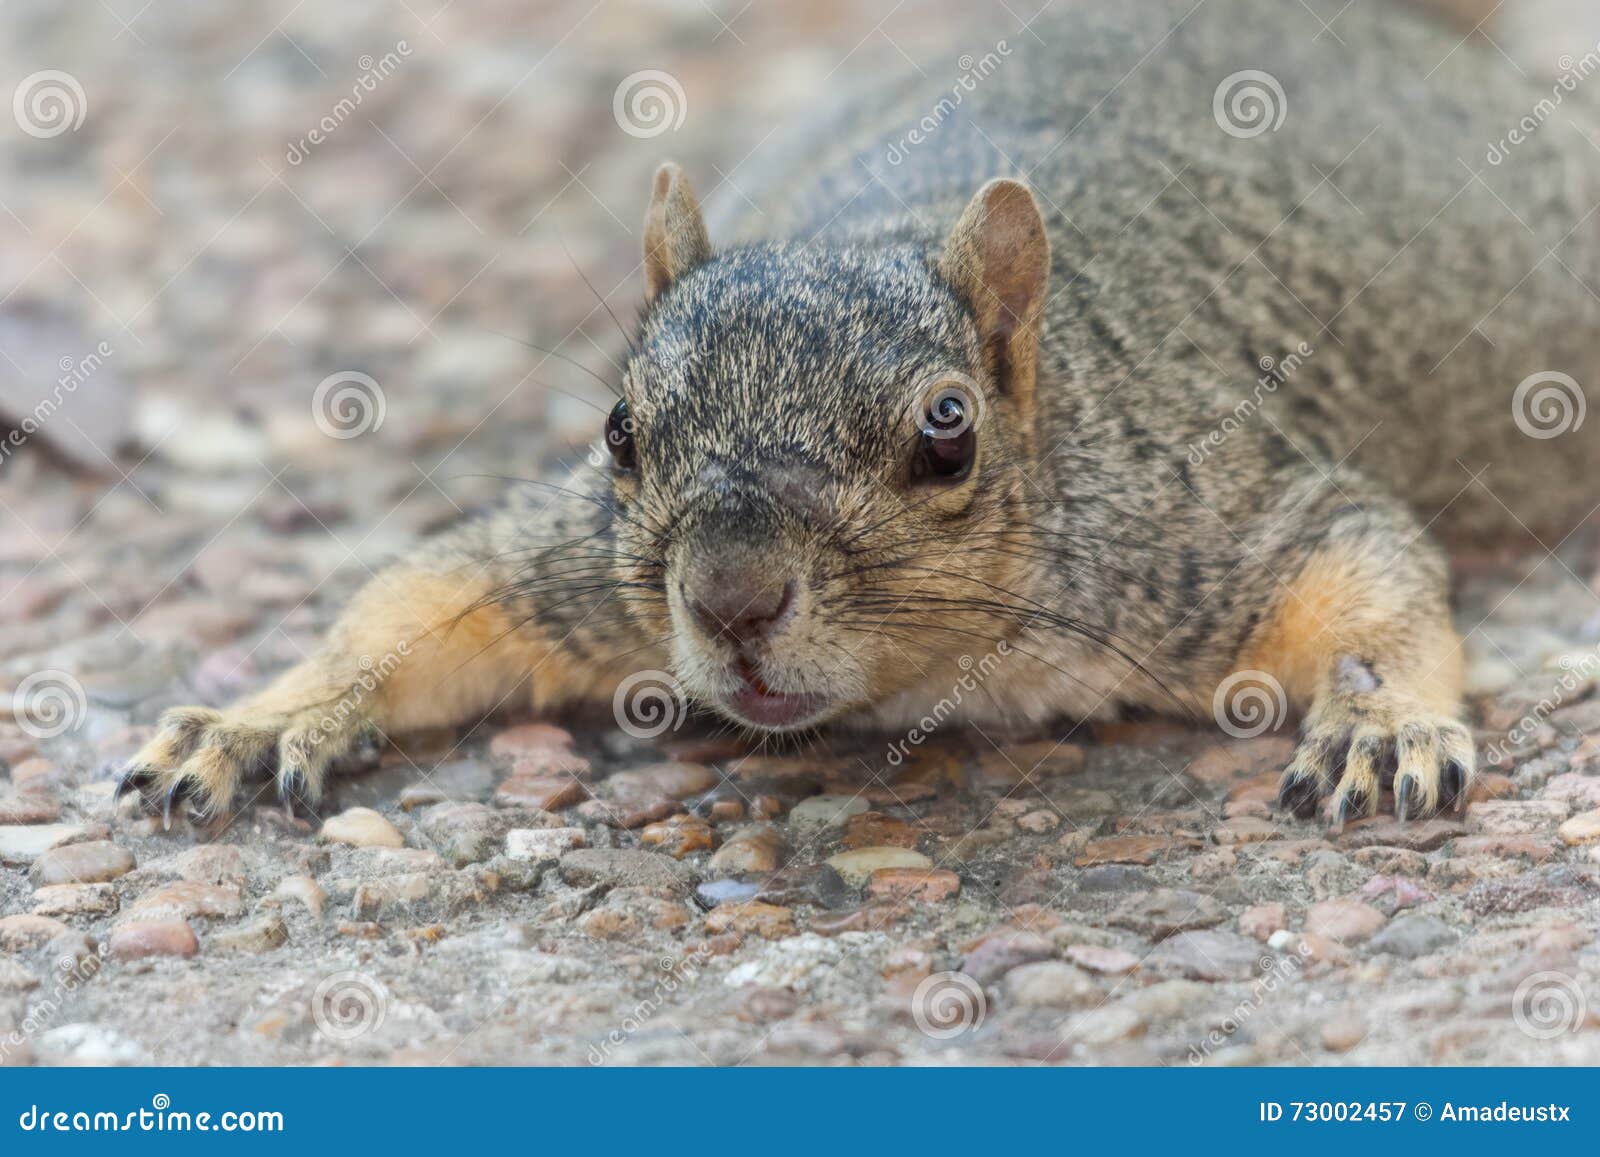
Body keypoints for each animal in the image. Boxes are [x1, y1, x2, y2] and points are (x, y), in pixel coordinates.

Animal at [122, 0, 1600, 829]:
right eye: (618, 433)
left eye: (947, 433)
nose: (728, 601)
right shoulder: (573, 566)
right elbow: (418, 597)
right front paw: (258, 717)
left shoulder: (1211, 522)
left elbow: (1367, 573)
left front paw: (1381, 723)